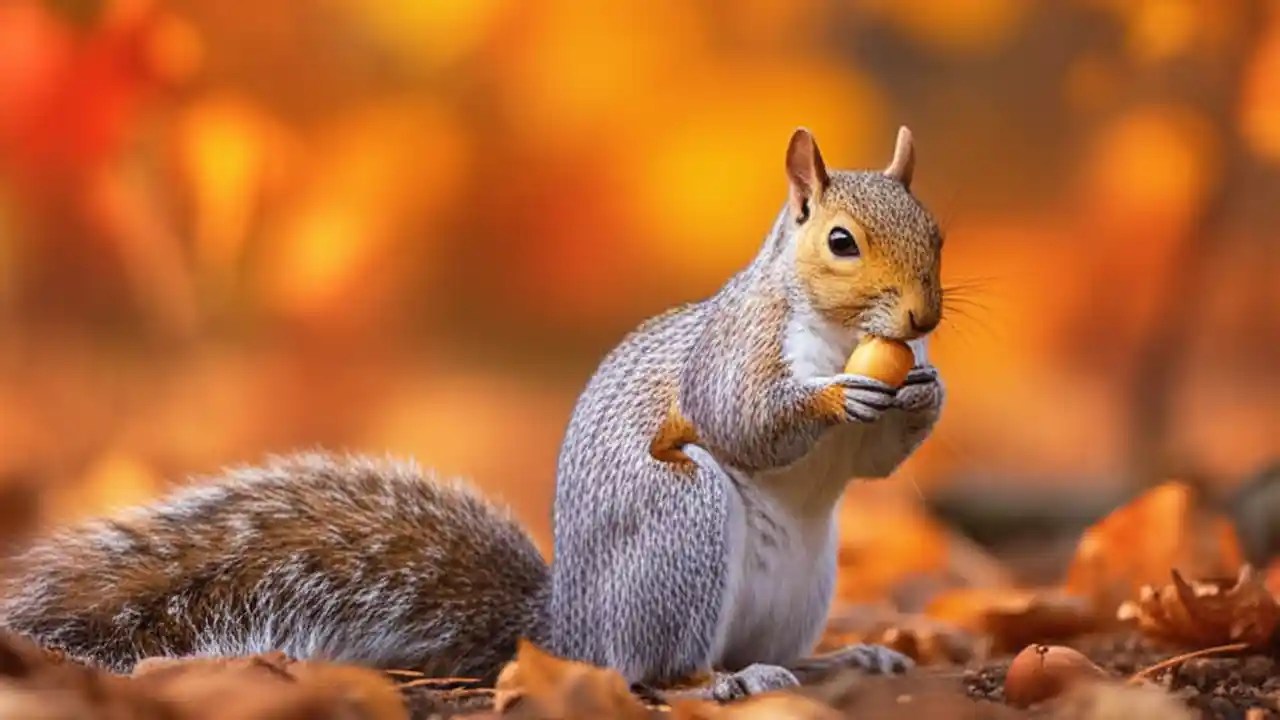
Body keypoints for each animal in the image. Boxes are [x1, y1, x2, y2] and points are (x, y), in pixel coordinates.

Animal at [0, 126, 946, 702]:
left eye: (936, 233)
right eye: (840, 242)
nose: (922, 320)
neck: (836, 333)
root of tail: (569, 634)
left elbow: (875, 460)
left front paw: (924, 393)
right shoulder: (730, 347)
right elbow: (741, 417)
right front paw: (835, 397)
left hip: (804, 579)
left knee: (761, 647)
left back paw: (835, 658)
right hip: (682, 529)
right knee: (650, 668)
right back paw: (719, 683)